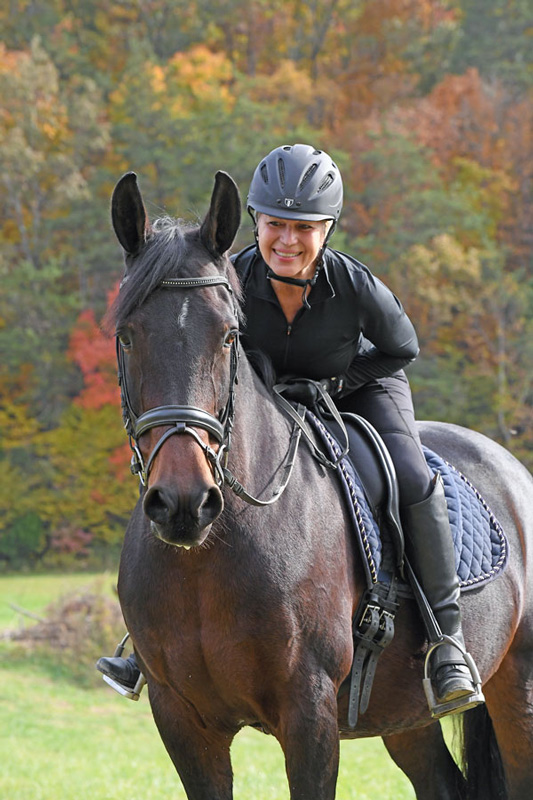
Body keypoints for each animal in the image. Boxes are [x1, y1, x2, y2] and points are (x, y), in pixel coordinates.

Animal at [107, 168, 533, 800]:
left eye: (229, 336)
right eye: (128, 335)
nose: (184, 503)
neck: (208, 559)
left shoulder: (308, 716)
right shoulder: (183, 720)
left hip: (518, 691)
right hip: (404, 718)